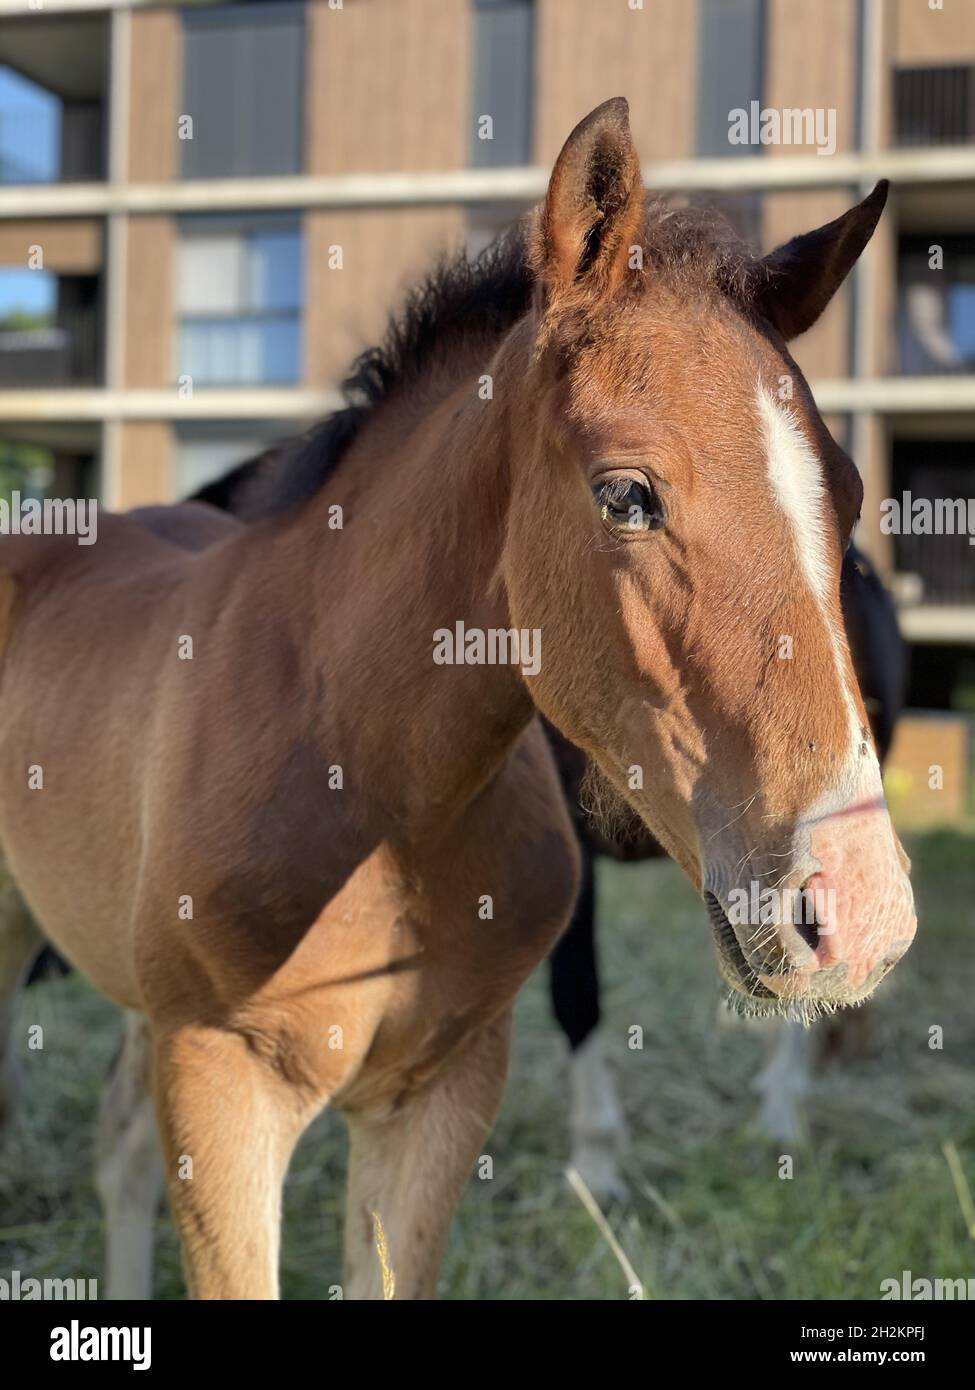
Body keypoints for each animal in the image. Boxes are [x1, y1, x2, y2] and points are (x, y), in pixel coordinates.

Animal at [0, 99, 915, 1300]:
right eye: (627, 493)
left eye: (847, 497)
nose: (861, 910)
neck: (372, 786)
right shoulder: (219, 1084)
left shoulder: (440, 1095)